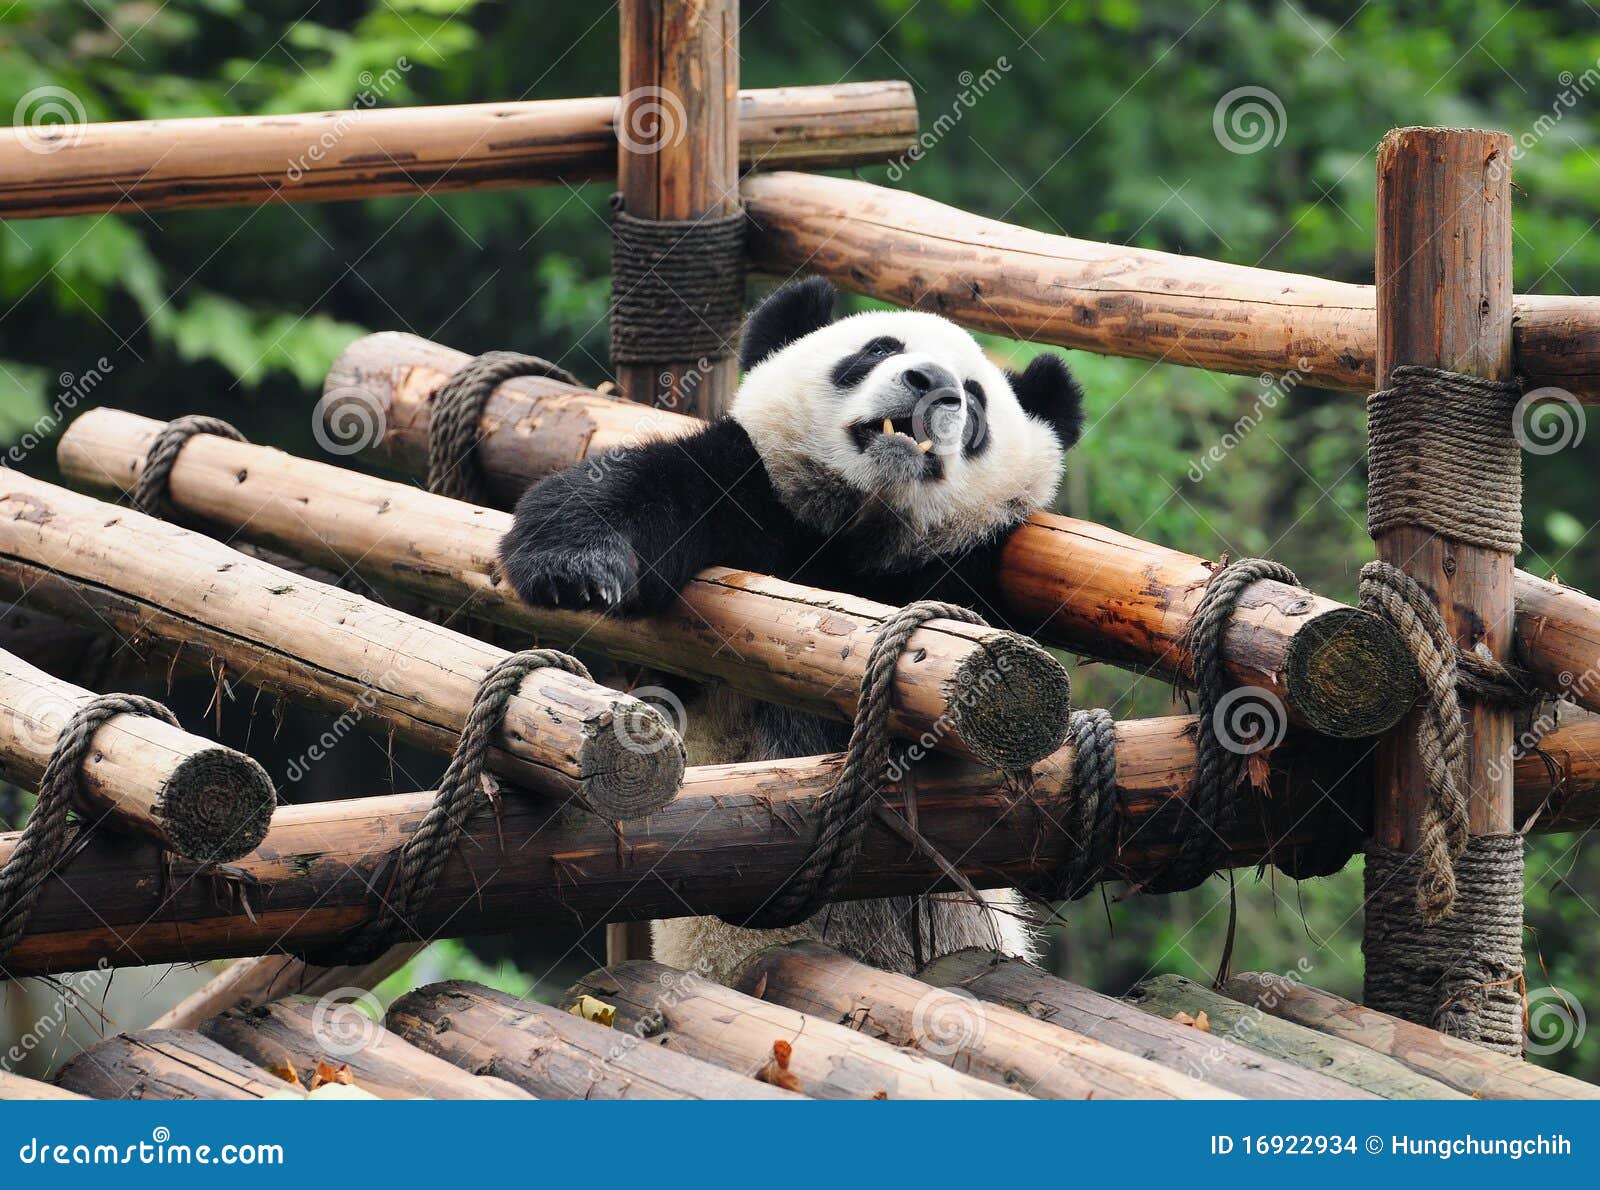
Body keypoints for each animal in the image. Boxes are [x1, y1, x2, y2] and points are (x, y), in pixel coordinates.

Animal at [499, 277, 1084, 982]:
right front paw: (574, 567)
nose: (933, 385)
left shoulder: (971, 566)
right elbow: (639, 486)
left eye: (973, 399)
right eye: (879, 348)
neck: (858, 533)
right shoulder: (755, 492)